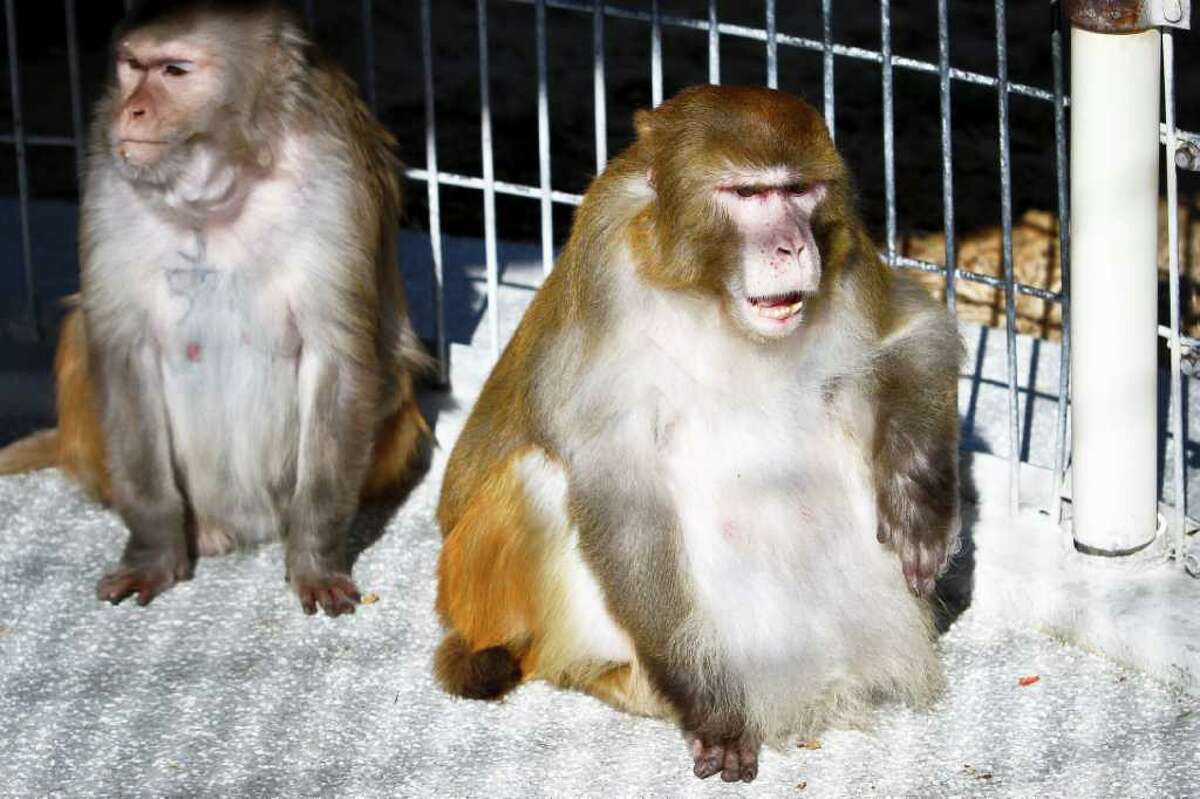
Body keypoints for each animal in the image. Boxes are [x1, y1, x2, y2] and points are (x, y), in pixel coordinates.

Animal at [0, 0, 431, 617]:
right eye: (132, 66)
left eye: (174, 71)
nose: (132, 110)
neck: (223, 183)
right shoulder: (108, 177)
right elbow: (122, 348)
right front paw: (153, 548)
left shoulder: (334, 176)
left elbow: (340, 357)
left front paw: (315, 556)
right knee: (79, 333)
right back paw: (194, 531)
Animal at [432, 86, 962, 782]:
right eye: (747, 195)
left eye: (799, 191)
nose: (794, 247)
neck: (710, 296)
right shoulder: (606, 271)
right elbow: (619, 483)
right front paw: (706, 700)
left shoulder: (844, 245)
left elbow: (912, 331)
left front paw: (916, 501)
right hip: (484, 596)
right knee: (539, 476)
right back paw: (615, 679)